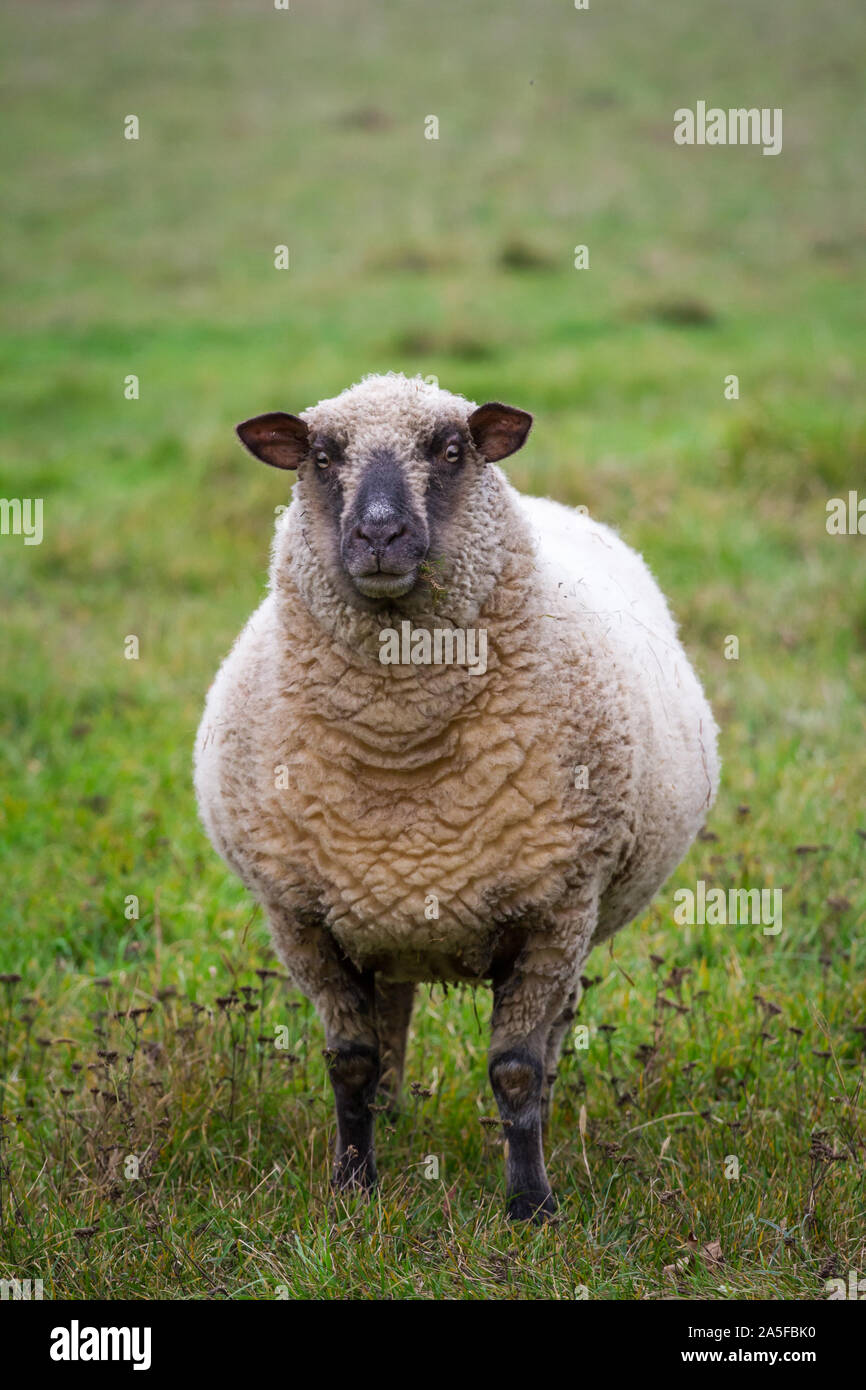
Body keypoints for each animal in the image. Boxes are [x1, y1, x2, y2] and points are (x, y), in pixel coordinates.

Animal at [194, 372, 719, 1221]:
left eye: (449, 450)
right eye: (320, 455)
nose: (379, 534)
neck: (401, 757)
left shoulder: (555, 911)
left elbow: (516, 1070)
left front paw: (531, 1204)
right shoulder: (300, 917)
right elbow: (349, 1059)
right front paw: (352, 1187)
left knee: (551, 1035)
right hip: (380, 917)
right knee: (392, 1018)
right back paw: (389, 1113)